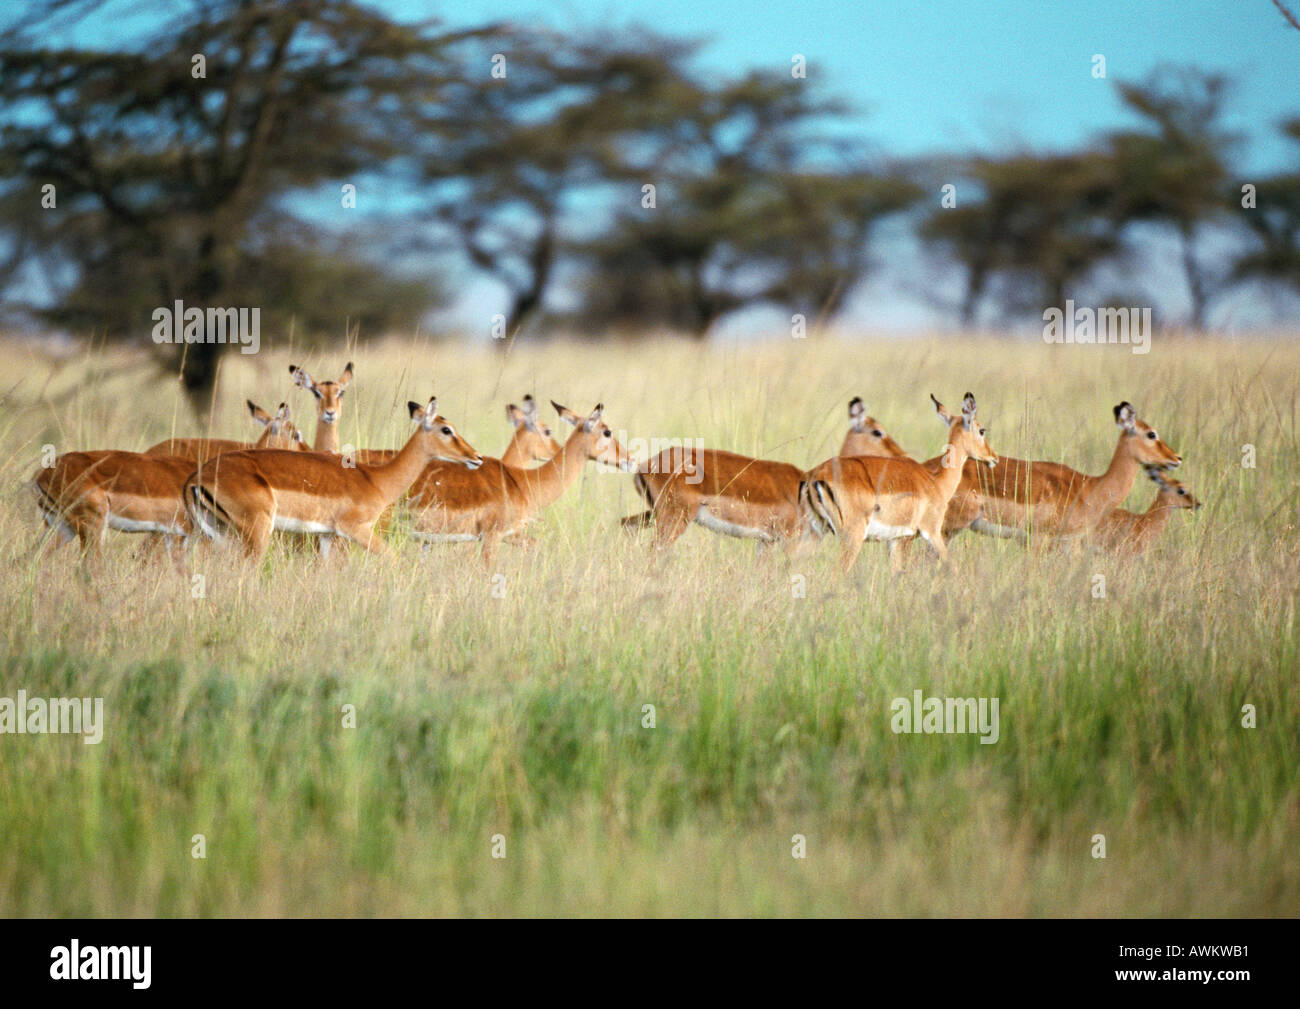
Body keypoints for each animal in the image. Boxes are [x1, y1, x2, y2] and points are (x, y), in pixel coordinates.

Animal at [184, 396, 482, 562]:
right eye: (446, 429)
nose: (476, 457)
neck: (376, 479)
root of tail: (198, 477)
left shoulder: (326, 536)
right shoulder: (355, 530)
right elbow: (393, 557)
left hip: (217, 533)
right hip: (256, 532)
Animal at [623, 396, 911, 551]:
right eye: (878, 431)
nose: (903, 456)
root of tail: (644, 465)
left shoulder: (766, 543)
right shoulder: (789, 541)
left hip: (655, 515)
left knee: (626, 525)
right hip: (673, 520)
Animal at [801, 392, 997, 573]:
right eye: (981, 430)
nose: (993, 457)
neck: (936, 481)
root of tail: (816, 475)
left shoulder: (894, 541)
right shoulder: (932, 532)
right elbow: (952, 566)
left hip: (814, 533)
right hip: (852, 537)